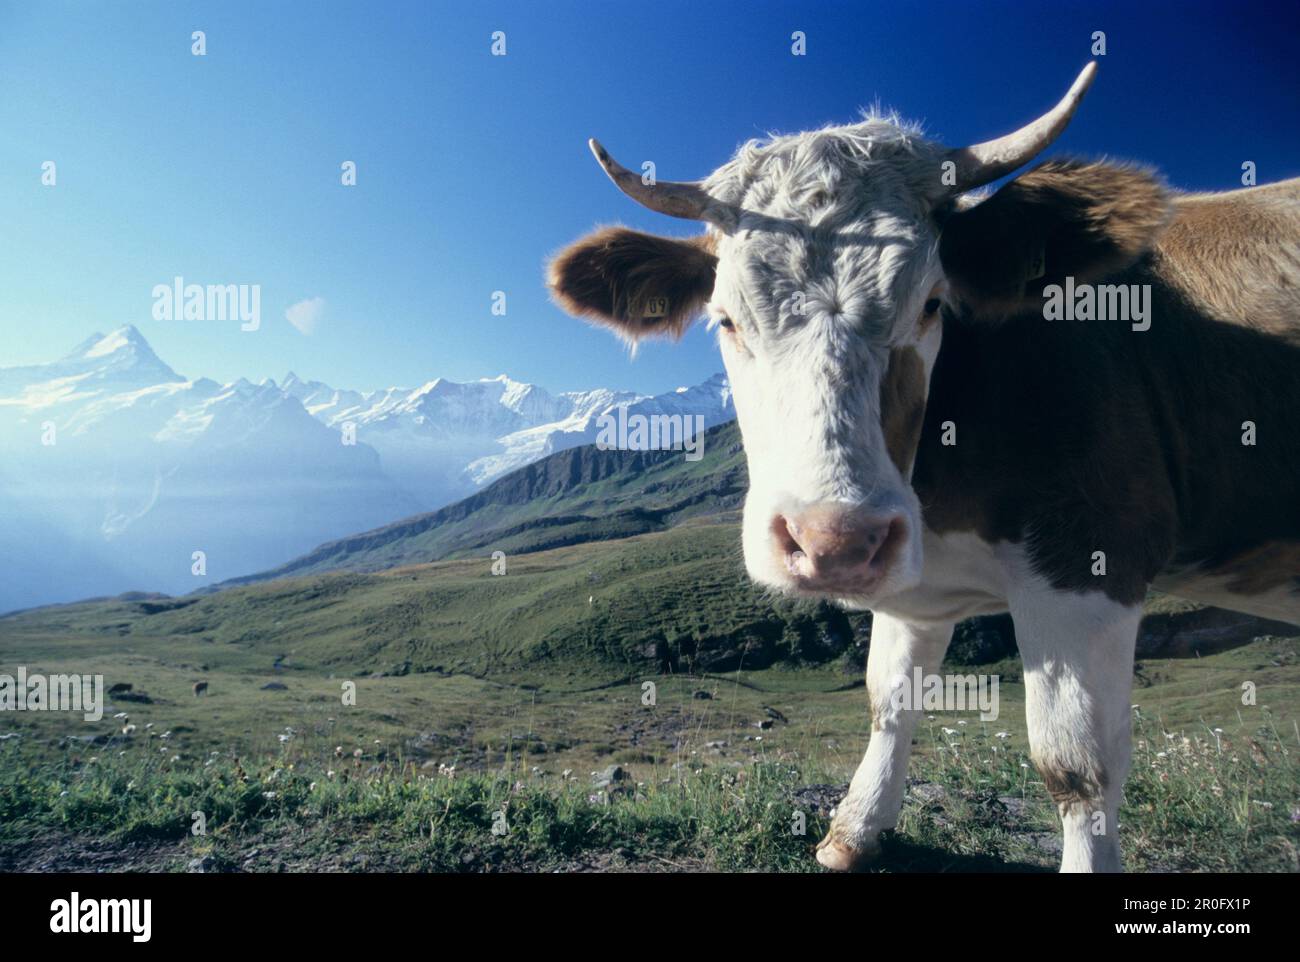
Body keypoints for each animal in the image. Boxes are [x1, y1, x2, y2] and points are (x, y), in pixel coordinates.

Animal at [548, 62, 1300, 873]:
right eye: (726, 320)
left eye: (933, 303)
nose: (832, 542)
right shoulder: (915, 584)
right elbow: (889, 701)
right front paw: (853, 831)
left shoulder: (1096, 556)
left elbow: (1078, 768)